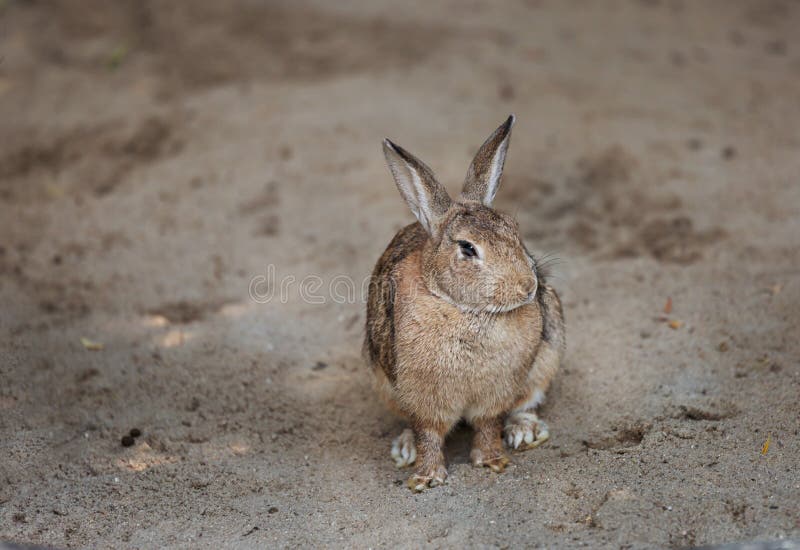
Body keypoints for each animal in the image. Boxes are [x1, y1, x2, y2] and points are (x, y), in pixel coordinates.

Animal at [364, 115, 565, 492]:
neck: (466, 311)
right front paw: (424, 478)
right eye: (468, 248)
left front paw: (492, 460)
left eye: (515, 230)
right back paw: (405, 448)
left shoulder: (496, 393)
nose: (528, 287)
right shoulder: (423, 399)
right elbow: (428, 434)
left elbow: (488, 424)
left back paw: (523, 431)